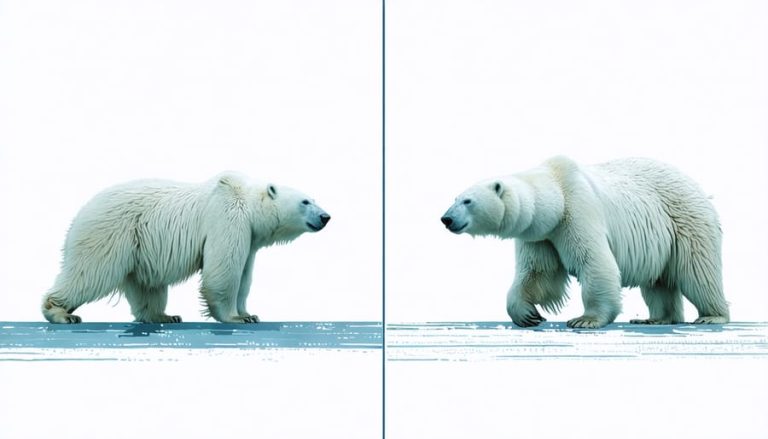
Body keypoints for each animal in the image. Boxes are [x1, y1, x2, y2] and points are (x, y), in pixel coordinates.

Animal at [42, 173, 330, 324]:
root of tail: (80, 212)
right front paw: (235, 317)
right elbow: (223, 272)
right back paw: (61, 313)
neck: (247, 203)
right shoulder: (227, 218)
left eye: (314, 198)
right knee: (89, 272)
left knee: (147, 286)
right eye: (305, 201)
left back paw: (163, 316)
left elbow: (244, 276)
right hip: (108, 232)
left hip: (138, 245)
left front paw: (250, 314)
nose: (326, 216)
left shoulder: (249, 238)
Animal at [440, 156, 729, 329]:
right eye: (455, 198)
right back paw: (656, 319)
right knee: (658, 281)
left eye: (467, 201)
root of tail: (695, 185)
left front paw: (584, 320)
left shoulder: (577, 212)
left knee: (697, 273)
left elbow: (595, 263)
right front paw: (527, 314)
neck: (557, 190)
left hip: (686, 221)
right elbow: (538, 273)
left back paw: (712, 315)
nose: (446, 218)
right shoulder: (542, 235)